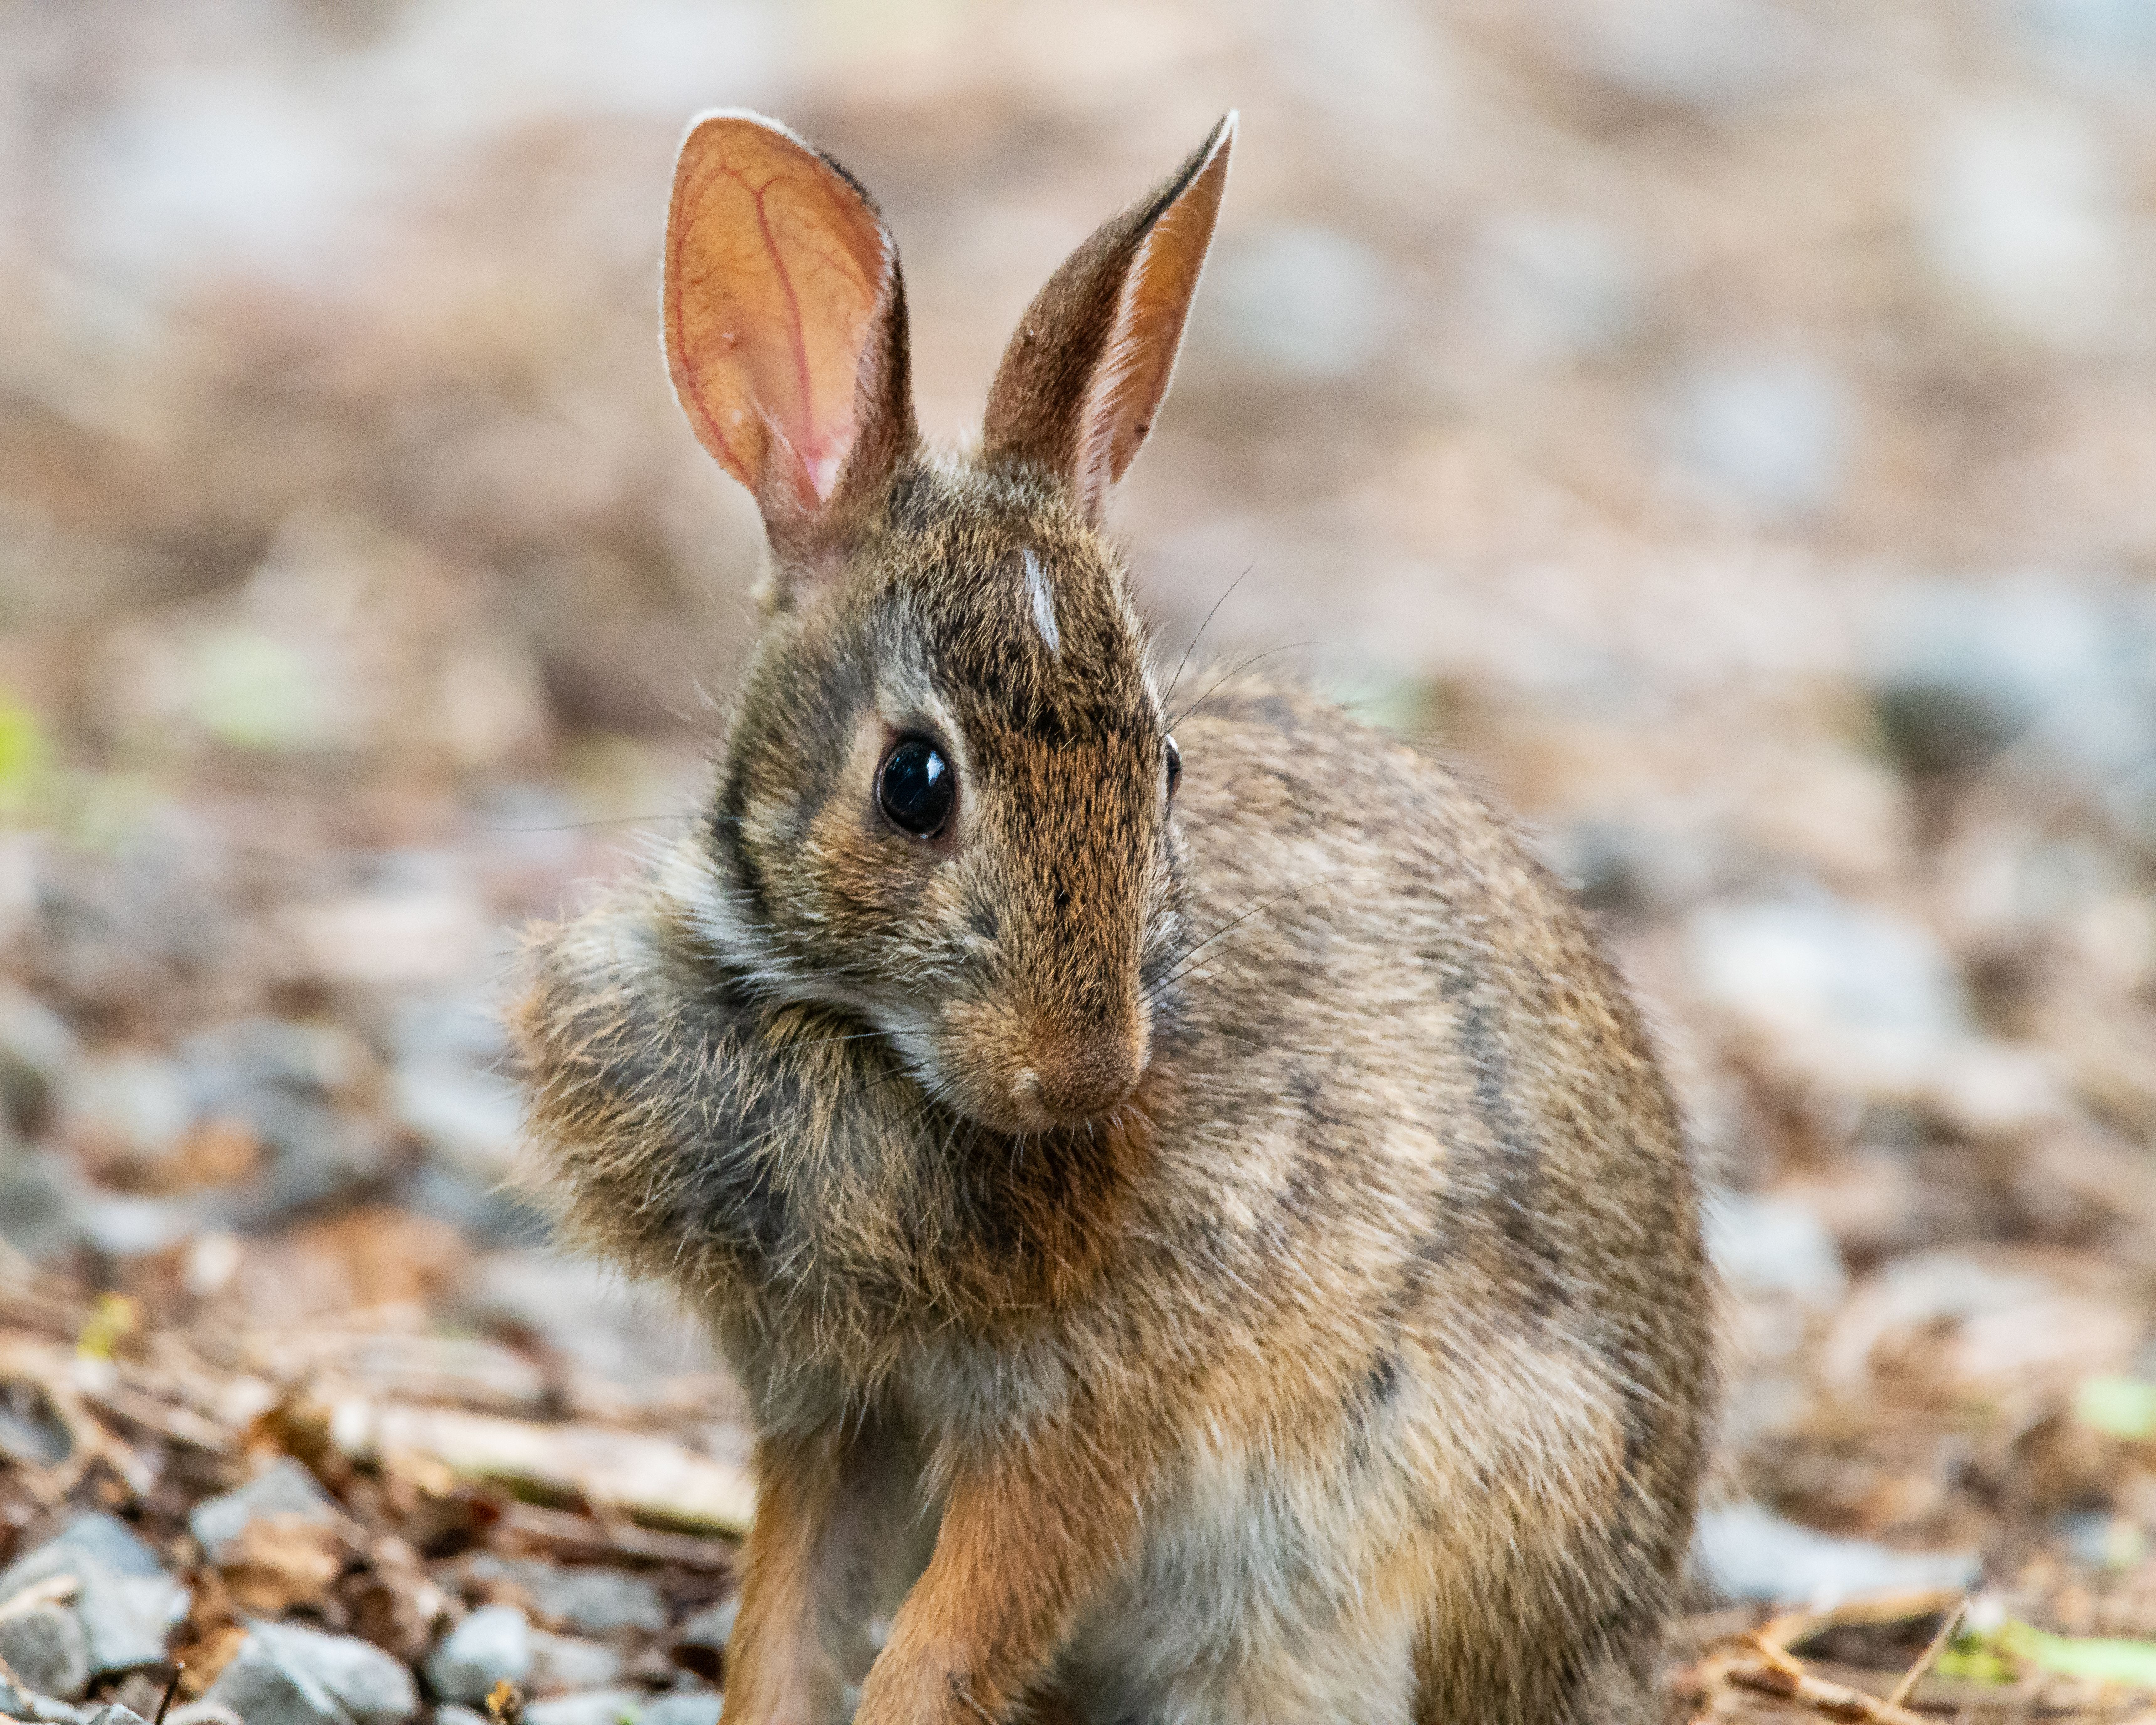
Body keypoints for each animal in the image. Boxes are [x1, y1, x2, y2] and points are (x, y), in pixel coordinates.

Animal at [512, 108, 1712, 1725]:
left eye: (1166, 766)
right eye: (912, 782)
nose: (1085, 1073)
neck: (850, 1037)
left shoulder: (1091, 1411)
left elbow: (954, 1636)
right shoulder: (831, 1412)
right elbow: (787, 1619)